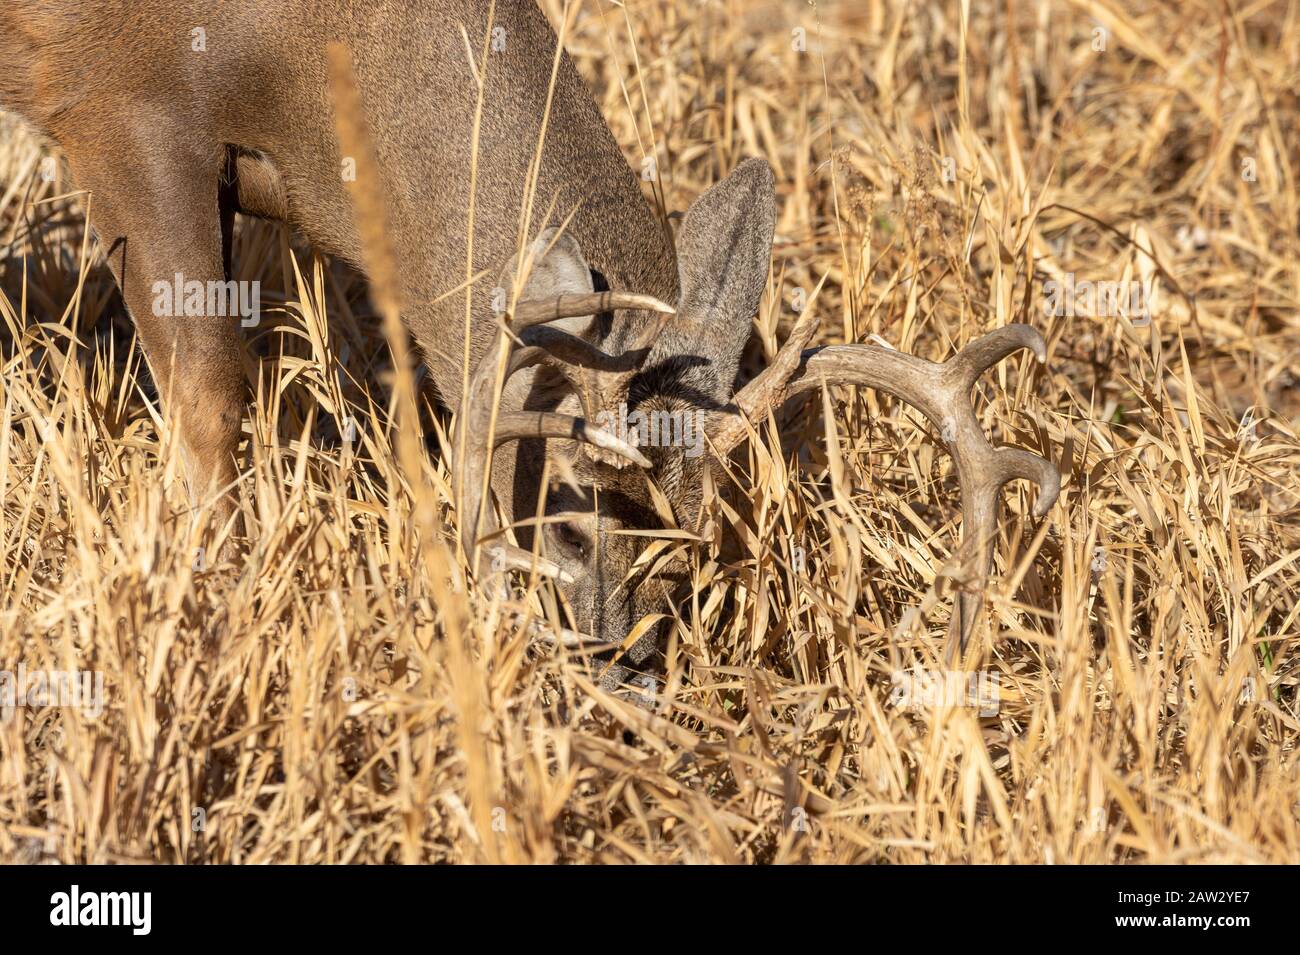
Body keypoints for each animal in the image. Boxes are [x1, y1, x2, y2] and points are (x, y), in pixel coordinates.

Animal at [0, 0, 1059, 685]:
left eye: (687, 548)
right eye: (570, 513)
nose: (620, 668)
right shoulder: (120, 108)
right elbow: (212, 391)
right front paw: (202, 592)